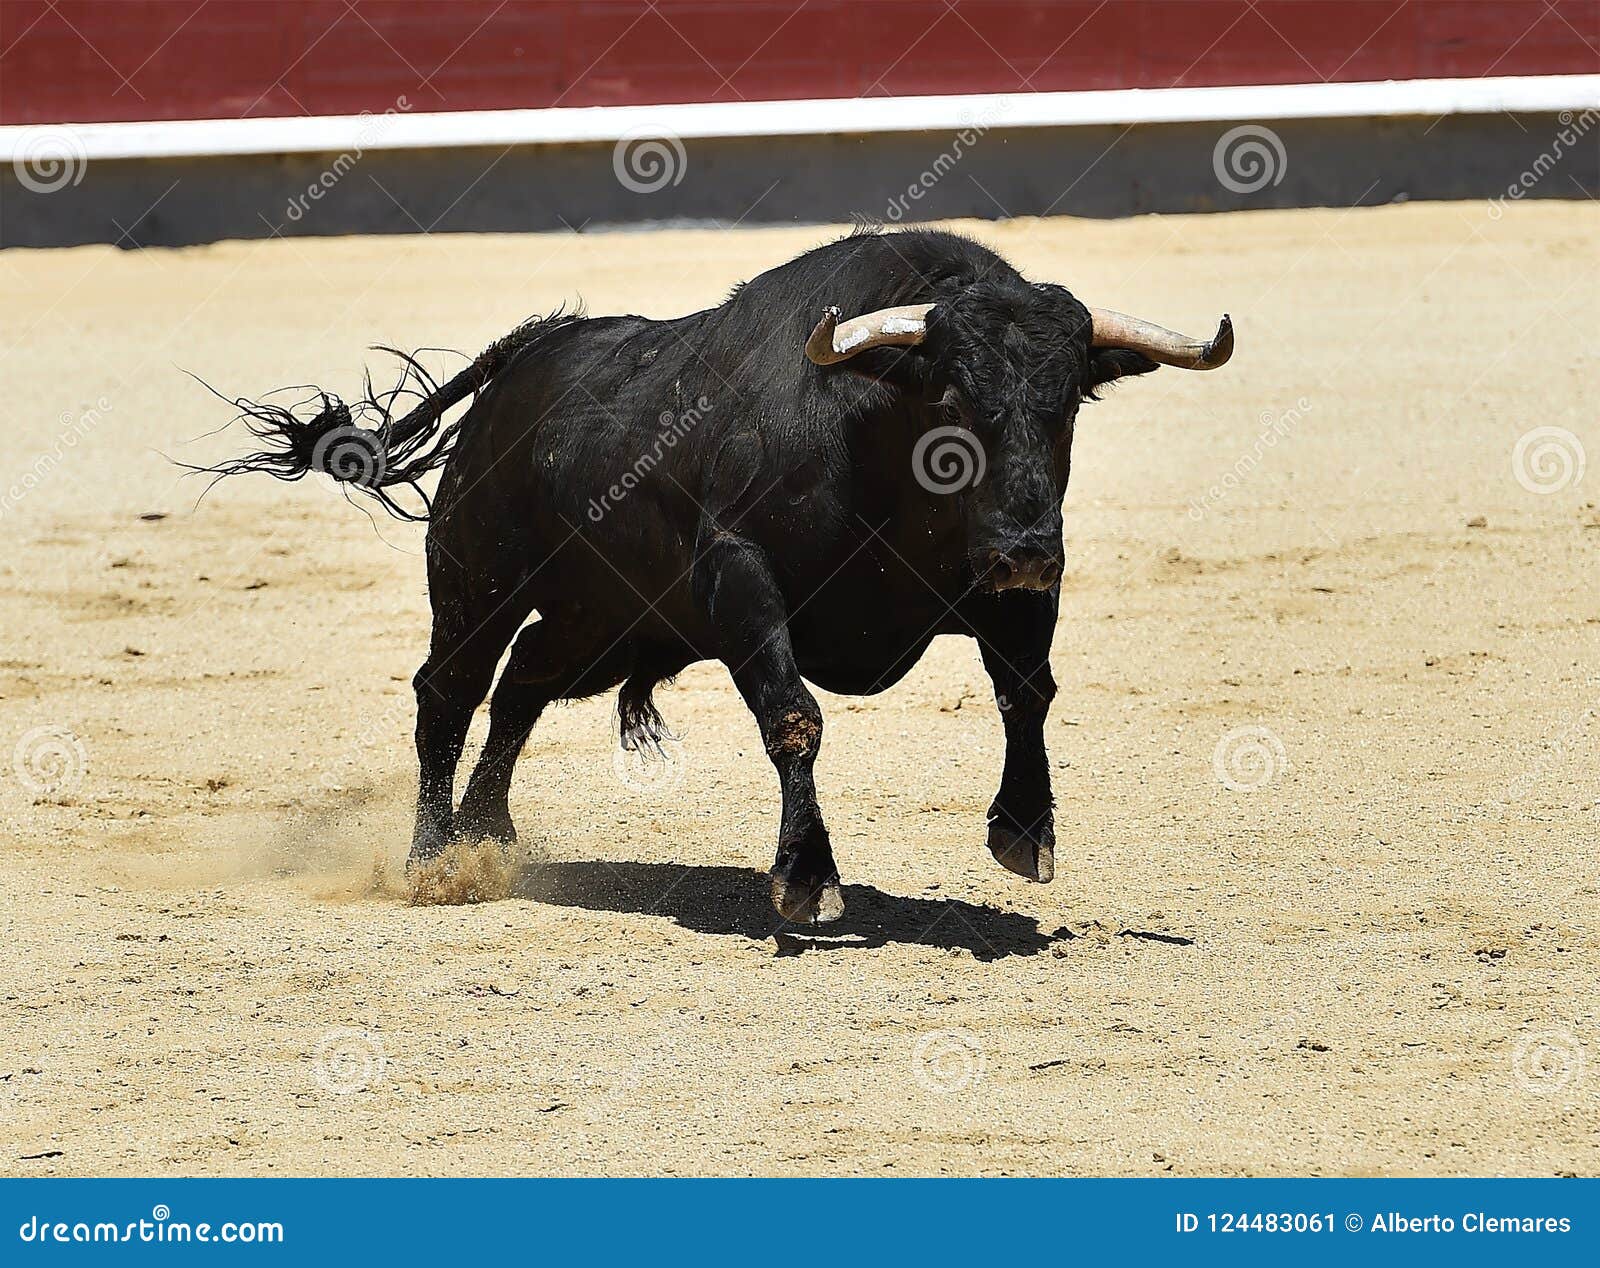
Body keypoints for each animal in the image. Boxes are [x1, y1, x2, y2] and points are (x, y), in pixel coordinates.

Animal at [207, 228, 1232, 923]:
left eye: (1069, 404)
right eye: (951, 397)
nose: (1027, 546)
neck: (871, 434)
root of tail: (524, 363)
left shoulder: (1004, 588)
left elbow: (1028, 691)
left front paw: (1025, 833)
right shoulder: (743, 582)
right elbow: (794, 716)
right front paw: (806, 878)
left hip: (601, 623)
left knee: (522, 688)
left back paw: (486, 840)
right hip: (477, 583)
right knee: (448, 694)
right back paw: (432, 863)